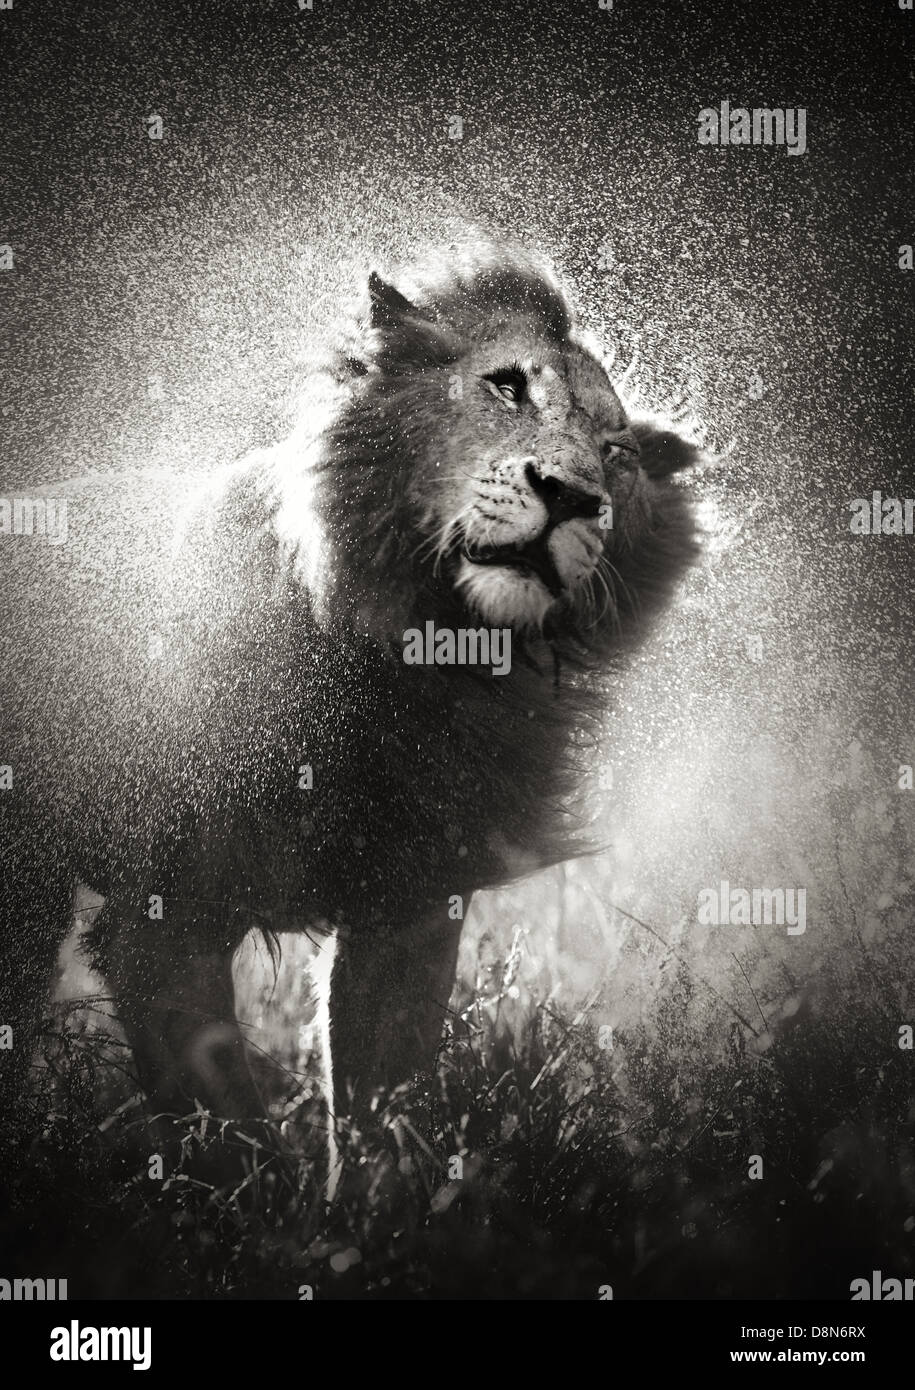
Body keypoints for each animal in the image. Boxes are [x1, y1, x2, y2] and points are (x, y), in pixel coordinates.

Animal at [0, 245, 701, 1178]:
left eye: (615, 451)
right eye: (506, 387)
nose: (570, 495)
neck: (410, 663)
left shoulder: (408, 908)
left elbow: (381, 1114)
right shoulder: (166, 918)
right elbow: (233, 1135)